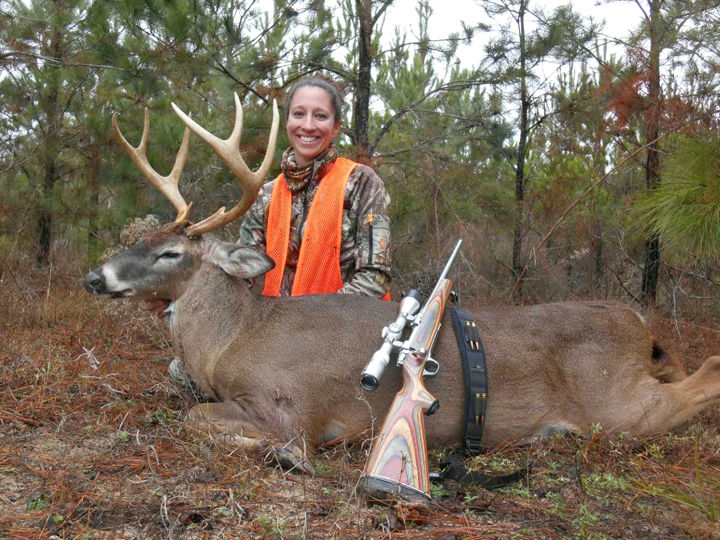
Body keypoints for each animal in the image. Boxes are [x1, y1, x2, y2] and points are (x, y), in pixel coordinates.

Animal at [84, 95, 720, 474]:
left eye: (170, 252)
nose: (95, 276)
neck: (233, 340)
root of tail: (636, 324)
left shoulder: (289, 406)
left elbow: (203, 422)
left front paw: (290, 457)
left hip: (619, 403)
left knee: (704, 375)